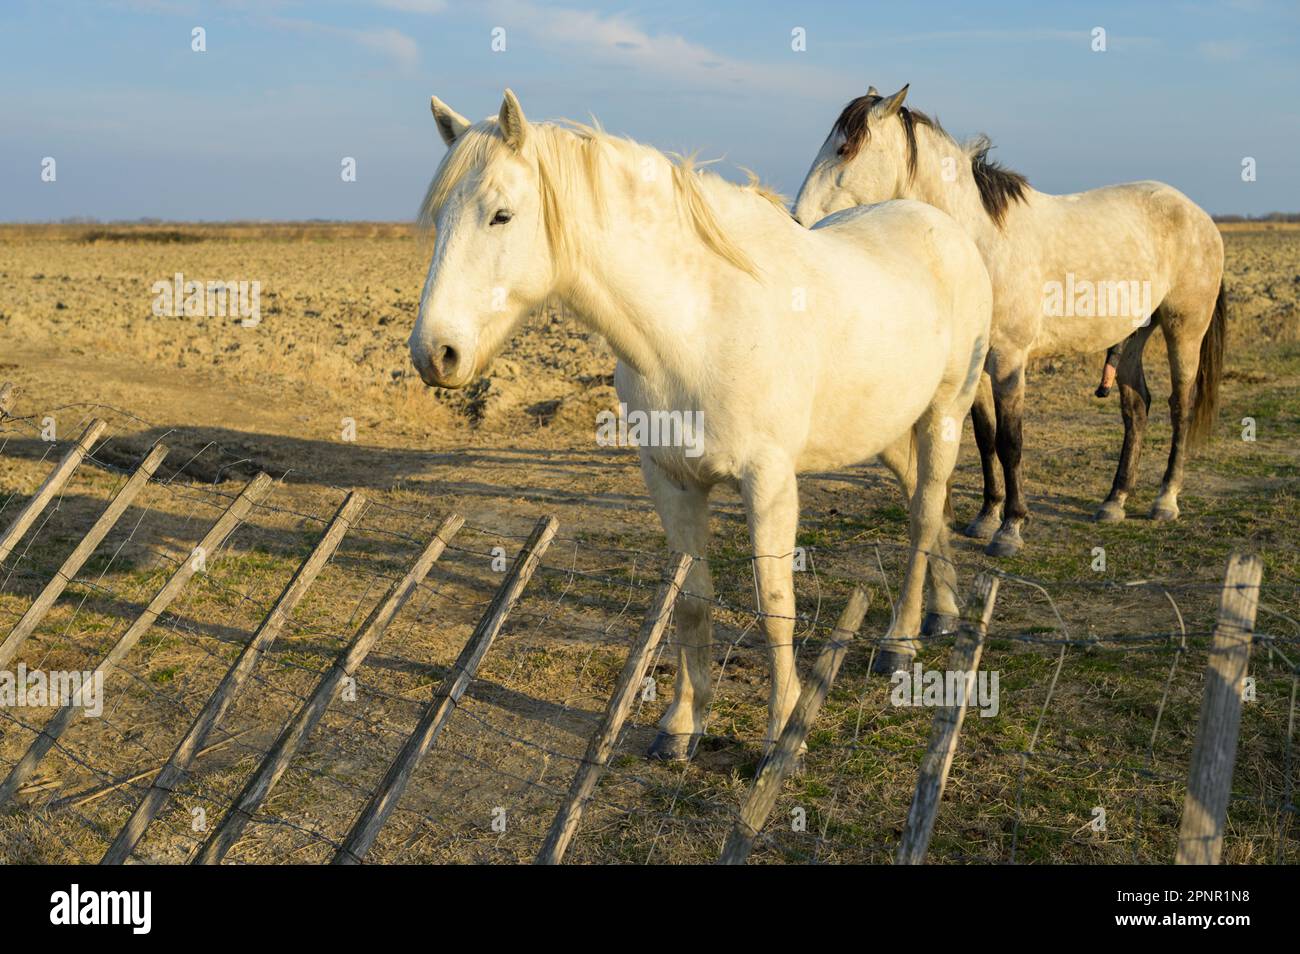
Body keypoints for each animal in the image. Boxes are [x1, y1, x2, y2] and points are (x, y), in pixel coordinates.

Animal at [409, 89, 991, 757]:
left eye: (500, 215)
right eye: (439, 219)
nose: (434, 354)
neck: (700, 322)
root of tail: (939, 224)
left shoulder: (768, 483)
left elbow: (774, 599)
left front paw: (781, 732)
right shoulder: (672, 481)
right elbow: (691, 600)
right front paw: (683, 724)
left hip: (946, 411)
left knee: (923, 512)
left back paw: (900, 641)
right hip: (888, 428)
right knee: (928, 498)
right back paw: (943, 611)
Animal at [793, 85, 1227, 557]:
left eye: (845, 148)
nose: (797, 219)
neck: (981, 241)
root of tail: (1198, 214)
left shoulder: (1008, 360)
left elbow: (1010, 440)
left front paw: (1011, 527)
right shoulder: (976, 364)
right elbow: (986, 438)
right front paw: (986, 516)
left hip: (1184, 329)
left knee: (1179, 406)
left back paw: (1165, 500)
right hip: (1133, 334)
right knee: (1136, 408)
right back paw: (1115, 501)